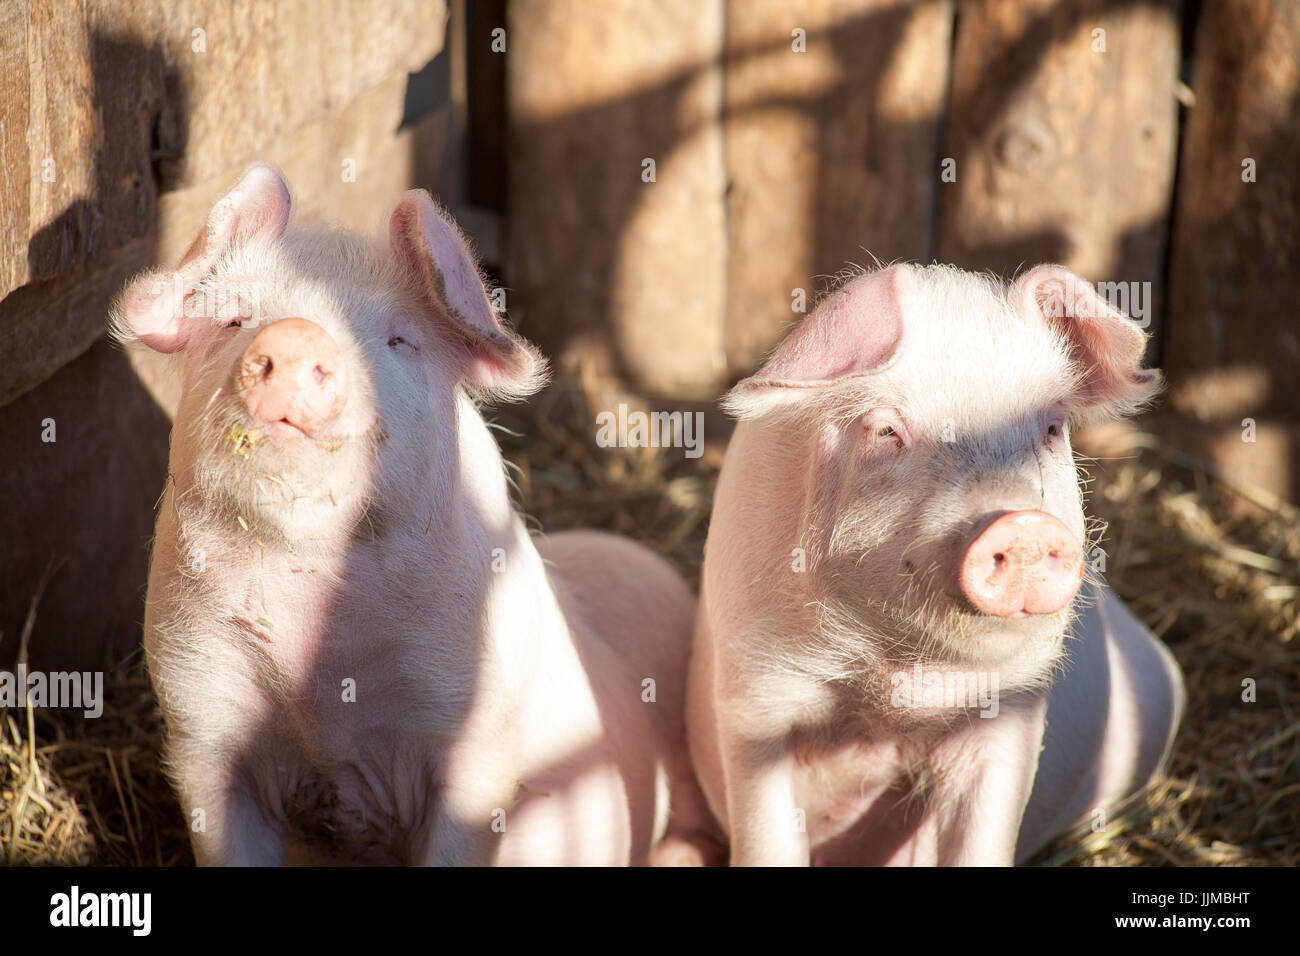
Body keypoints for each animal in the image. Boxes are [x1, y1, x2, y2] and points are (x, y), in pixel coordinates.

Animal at [687, 263, 1185, 865]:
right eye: (886, 431)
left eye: (1052, 427)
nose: (1020, 524)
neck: (895, 685)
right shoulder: (755, 694)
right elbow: (767, 835)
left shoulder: (1011, 708)